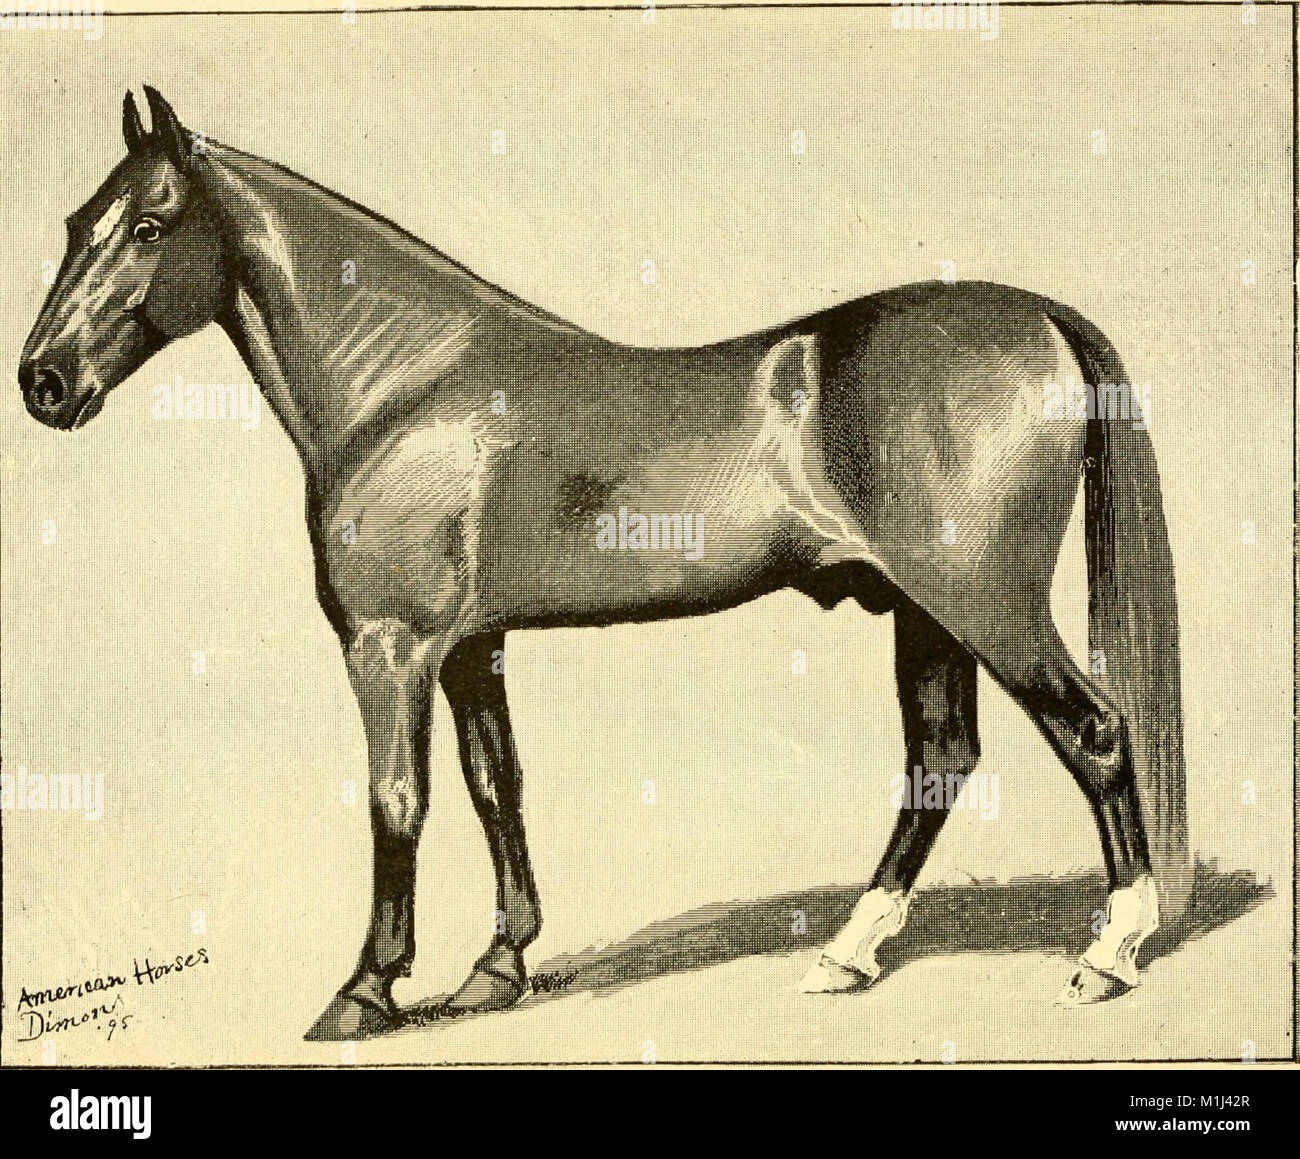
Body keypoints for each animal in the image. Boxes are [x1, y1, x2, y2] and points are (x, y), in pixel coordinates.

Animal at [20, 88, 1190, 1041]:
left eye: (149, 225)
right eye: (79, 223)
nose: (43, 380)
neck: (408, 383)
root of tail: (1041, 319)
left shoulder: (392, 646)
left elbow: (398, 800)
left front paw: (366, 989)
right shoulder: (471, 647)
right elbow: (496, 787)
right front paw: (496, 969)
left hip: (985, 605)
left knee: (1094, 730)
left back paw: (1107, 952)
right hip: (926, 612)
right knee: (941, 760)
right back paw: (848, 952)